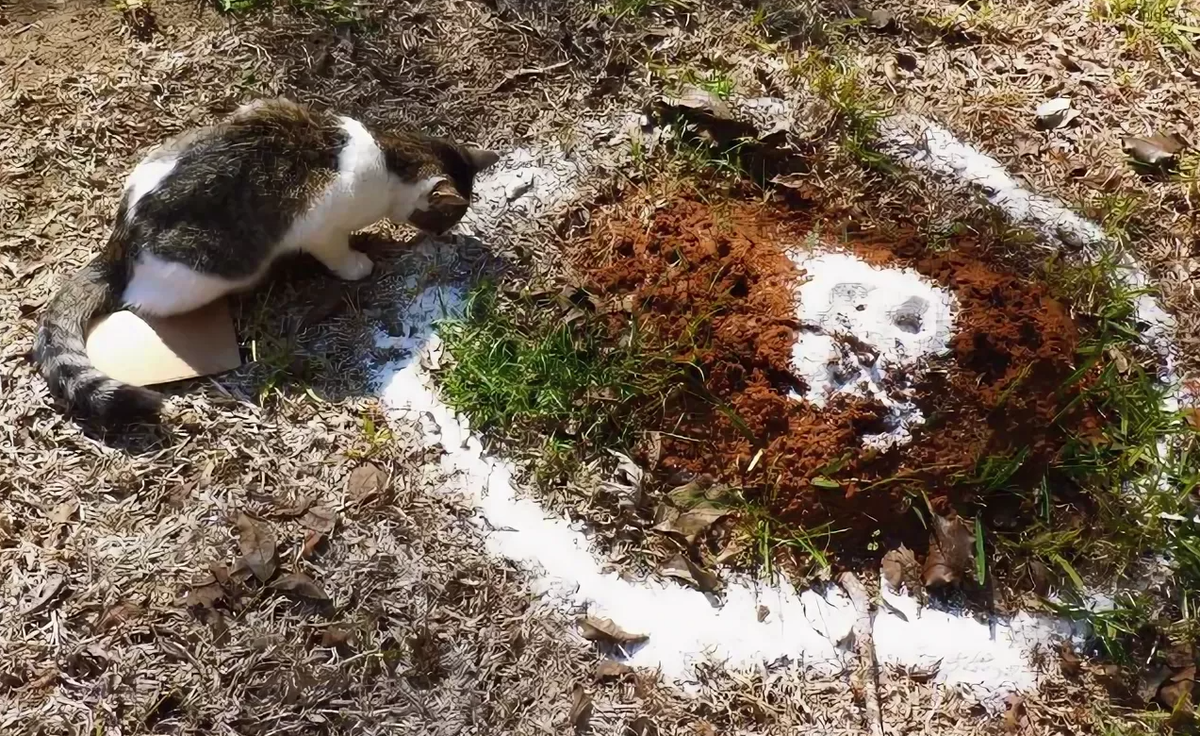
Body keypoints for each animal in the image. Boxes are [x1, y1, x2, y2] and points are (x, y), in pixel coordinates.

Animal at [32, 96, 499, 420]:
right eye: (452, 214)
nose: (448, 233)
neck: (389, 157)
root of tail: (119, 240)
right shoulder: (321, 227)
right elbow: (338, 252)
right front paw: (359, 263)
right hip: (210, 272)